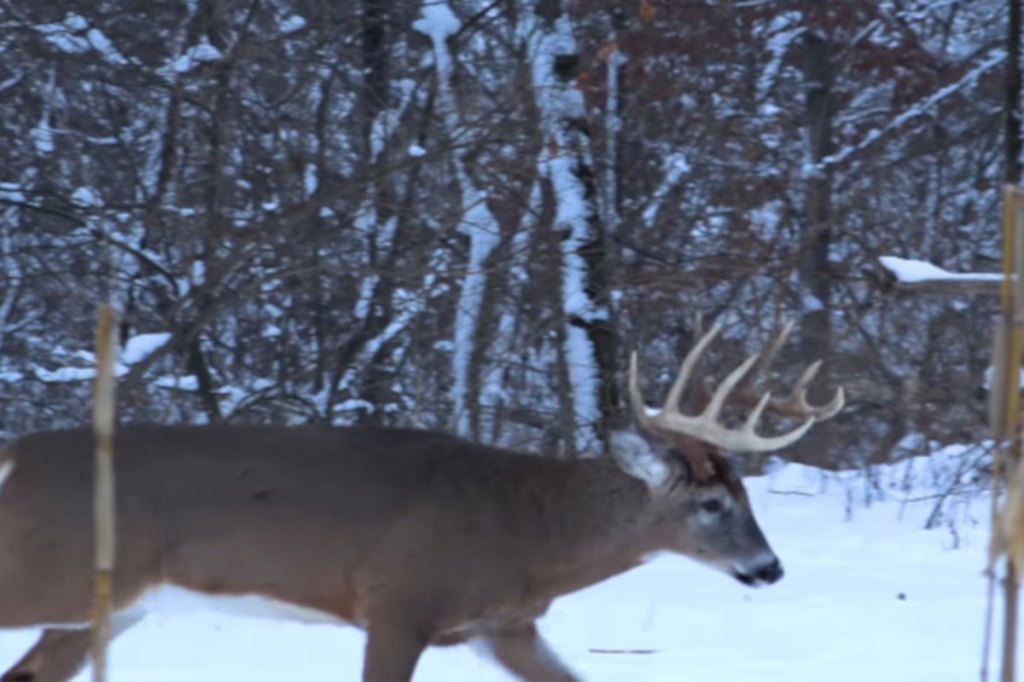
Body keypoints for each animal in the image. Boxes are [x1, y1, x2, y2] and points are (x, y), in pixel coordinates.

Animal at [0, 321, 843, 682]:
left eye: (745, 491)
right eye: (712, 504)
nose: (770, 567)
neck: (531, 530)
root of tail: (12, 456)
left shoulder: (503, 625)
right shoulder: (398, 602)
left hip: (107, 604)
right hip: (53, 574)